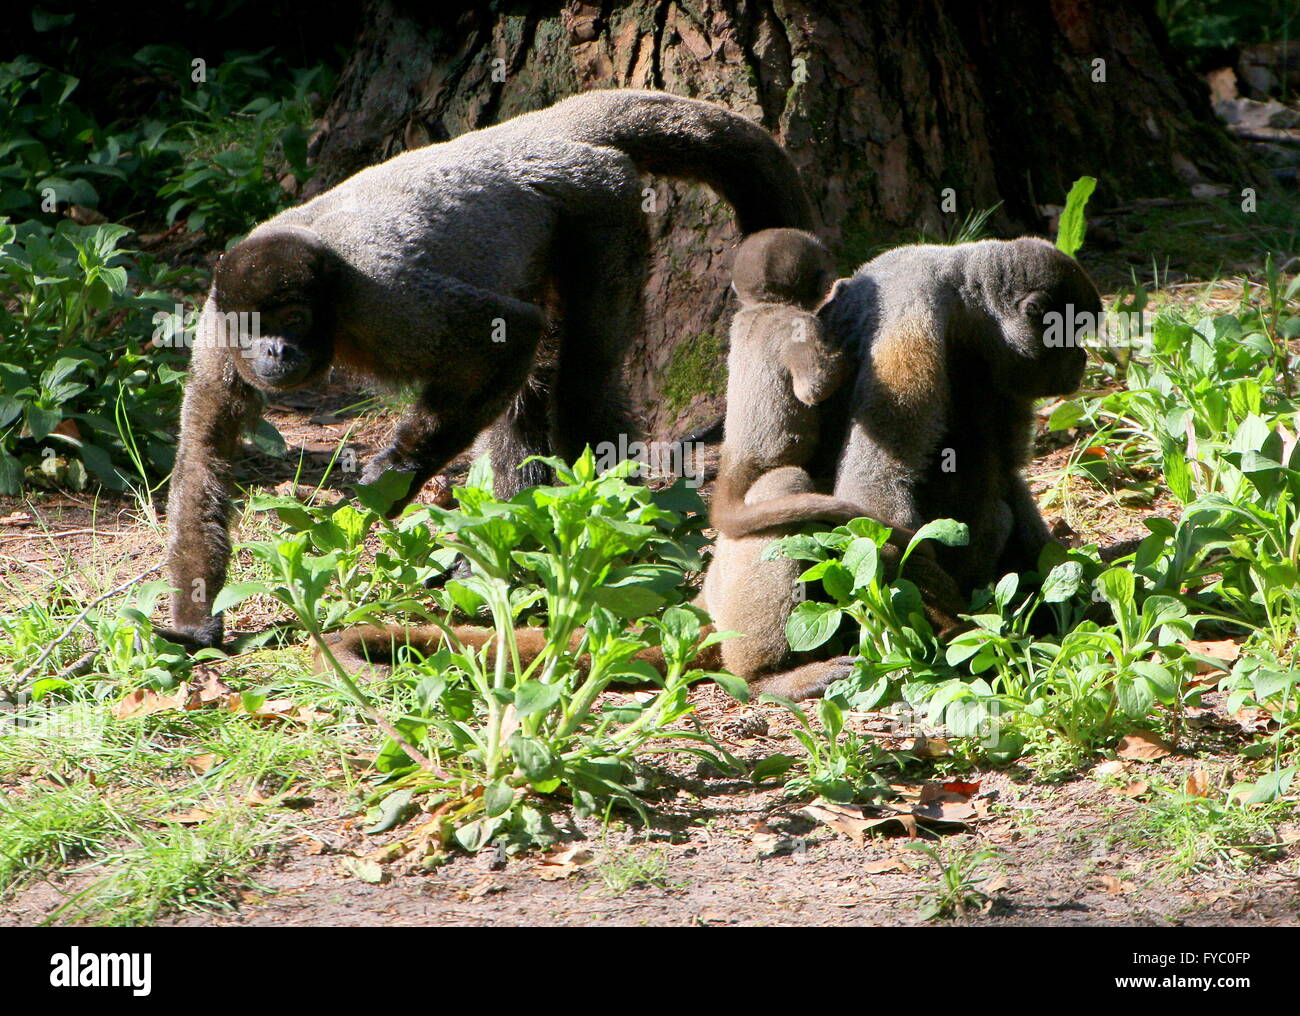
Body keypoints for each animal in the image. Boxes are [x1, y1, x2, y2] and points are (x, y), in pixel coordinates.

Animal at [163, 89, 815, 650]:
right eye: (252, 327)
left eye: (293, 318)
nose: (274, 352)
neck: (330, 307)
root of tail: (538, 130)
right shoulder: (215, 332)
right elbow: (203, 455)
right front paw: (193, 618)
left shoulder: (381, 301)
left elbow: (507, 333)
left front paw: (394, 476)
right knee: (529, 392)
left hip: (602, 203)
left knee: (584, 373)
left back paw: (600, 528)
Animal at [817, 236, 1102, 593]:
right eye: (1071, 331)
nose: (1082, 356)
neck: (966, 303)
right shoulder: (911, 325)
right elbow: (875, 482)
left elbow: (1008, 473)